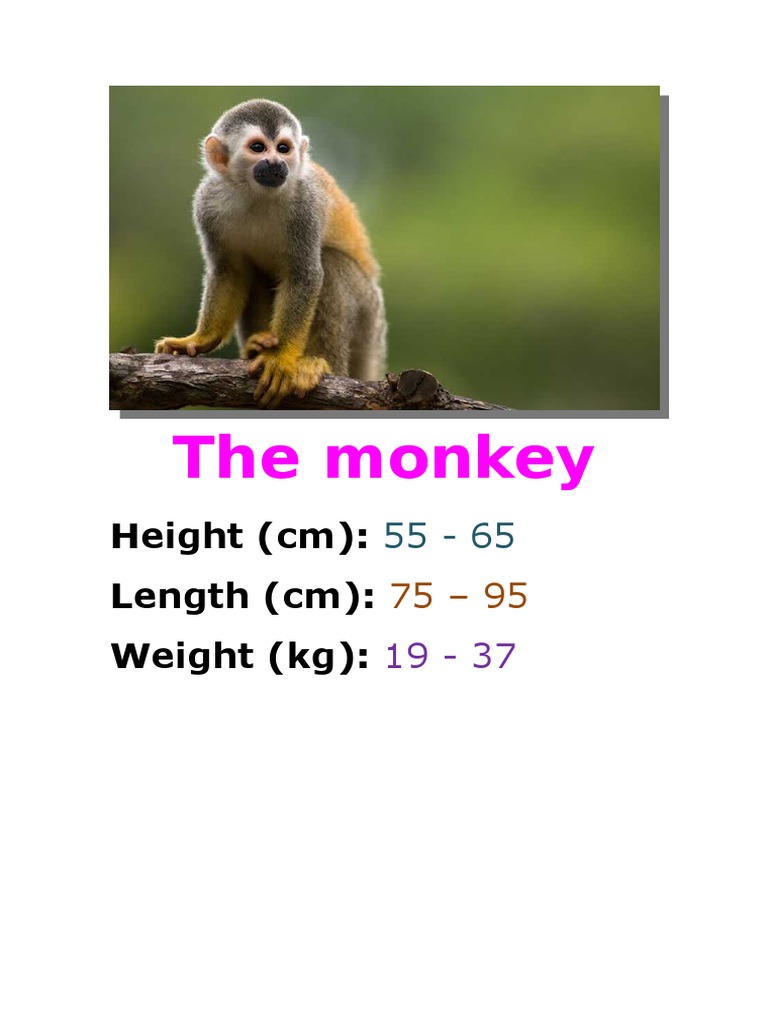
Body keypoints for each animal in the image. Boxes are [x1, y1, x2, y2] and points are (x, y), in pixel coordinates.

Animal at [156, 98, 386, 408]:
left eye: (283, 148)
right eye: (258, 148)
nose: (276, 163)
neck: (256, 194)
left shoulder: (305, 204)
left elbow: (304, 274)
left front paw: (280, 358)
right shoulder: (206, 203)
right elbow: (229, 271)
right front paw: (200, 340)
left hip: (368, 317)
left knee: (331, 263)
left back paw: (320, 364)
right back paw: (256, 345)